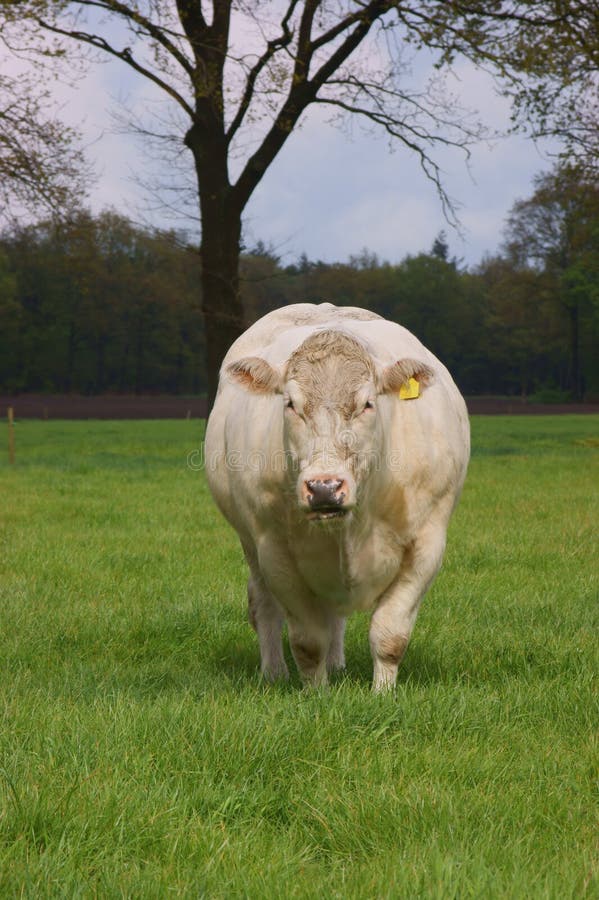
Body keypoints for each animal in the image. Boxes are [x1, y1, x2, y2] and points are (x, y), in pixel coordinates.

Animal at [204, 303, 470, 691]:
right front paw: (317, 694)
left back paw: (337, 665)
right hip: (249, 541)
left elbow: (390, 635)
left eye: (367, 403)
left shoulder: (427, 543)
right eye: (290, 404)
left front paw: (382, 694)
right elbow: (308, 641)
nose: (324, 488)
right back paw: (274, 673)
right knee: (264, 606)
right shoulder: (274, 551)